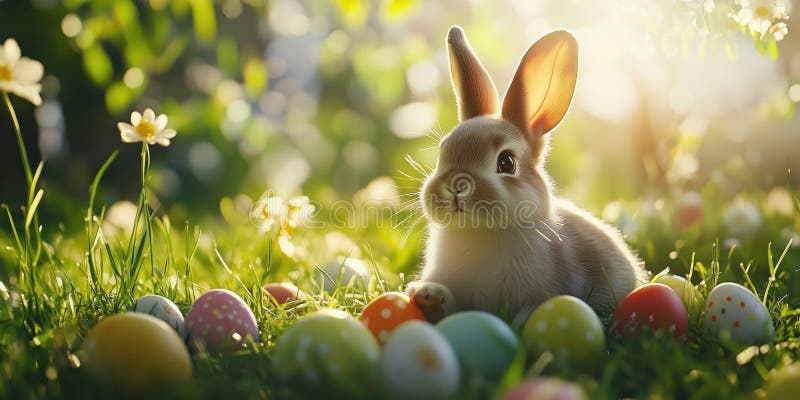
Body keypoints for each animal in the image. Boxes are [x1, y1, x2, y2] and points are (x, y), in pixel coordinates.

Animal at [405, 26, 649, 324]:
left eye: (507, 162)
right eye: (443, 150)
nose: (456, 184)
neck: (481, 231)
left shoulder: (540, 291)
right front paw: (426, 295)